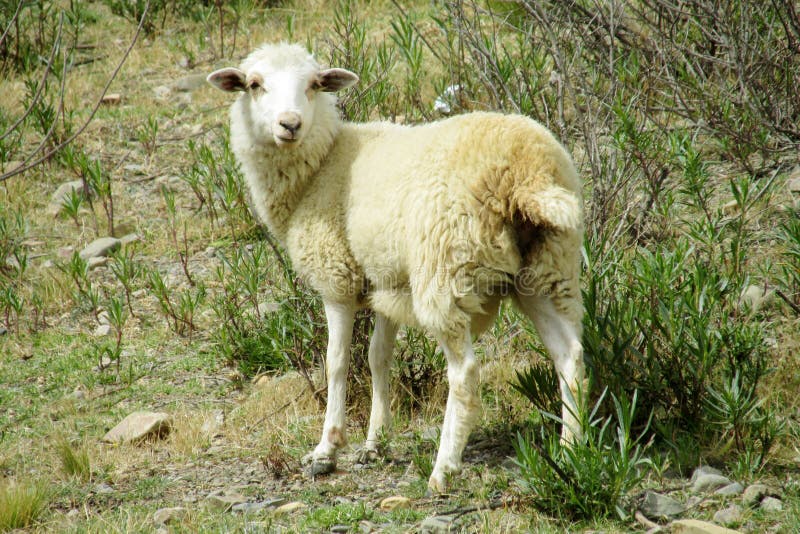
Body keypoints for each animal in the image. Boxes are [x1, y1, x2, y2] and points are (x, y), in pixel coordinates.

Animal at [207, 42, 586, 493]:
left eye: (314, 85)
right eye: (254, 84)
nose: (290, 124)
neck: (322, 164)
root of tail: (526, 173)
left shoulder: (337, 277)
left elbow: (337, 362)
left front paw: (327, 447)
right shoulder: (385, 280)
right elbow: (378, 357)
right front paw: (376, 442)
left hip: (445, 270)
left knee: (464, 374)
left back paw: (444, 468)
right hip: (548, 270)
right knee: (569, 356)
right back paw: (573, 449)